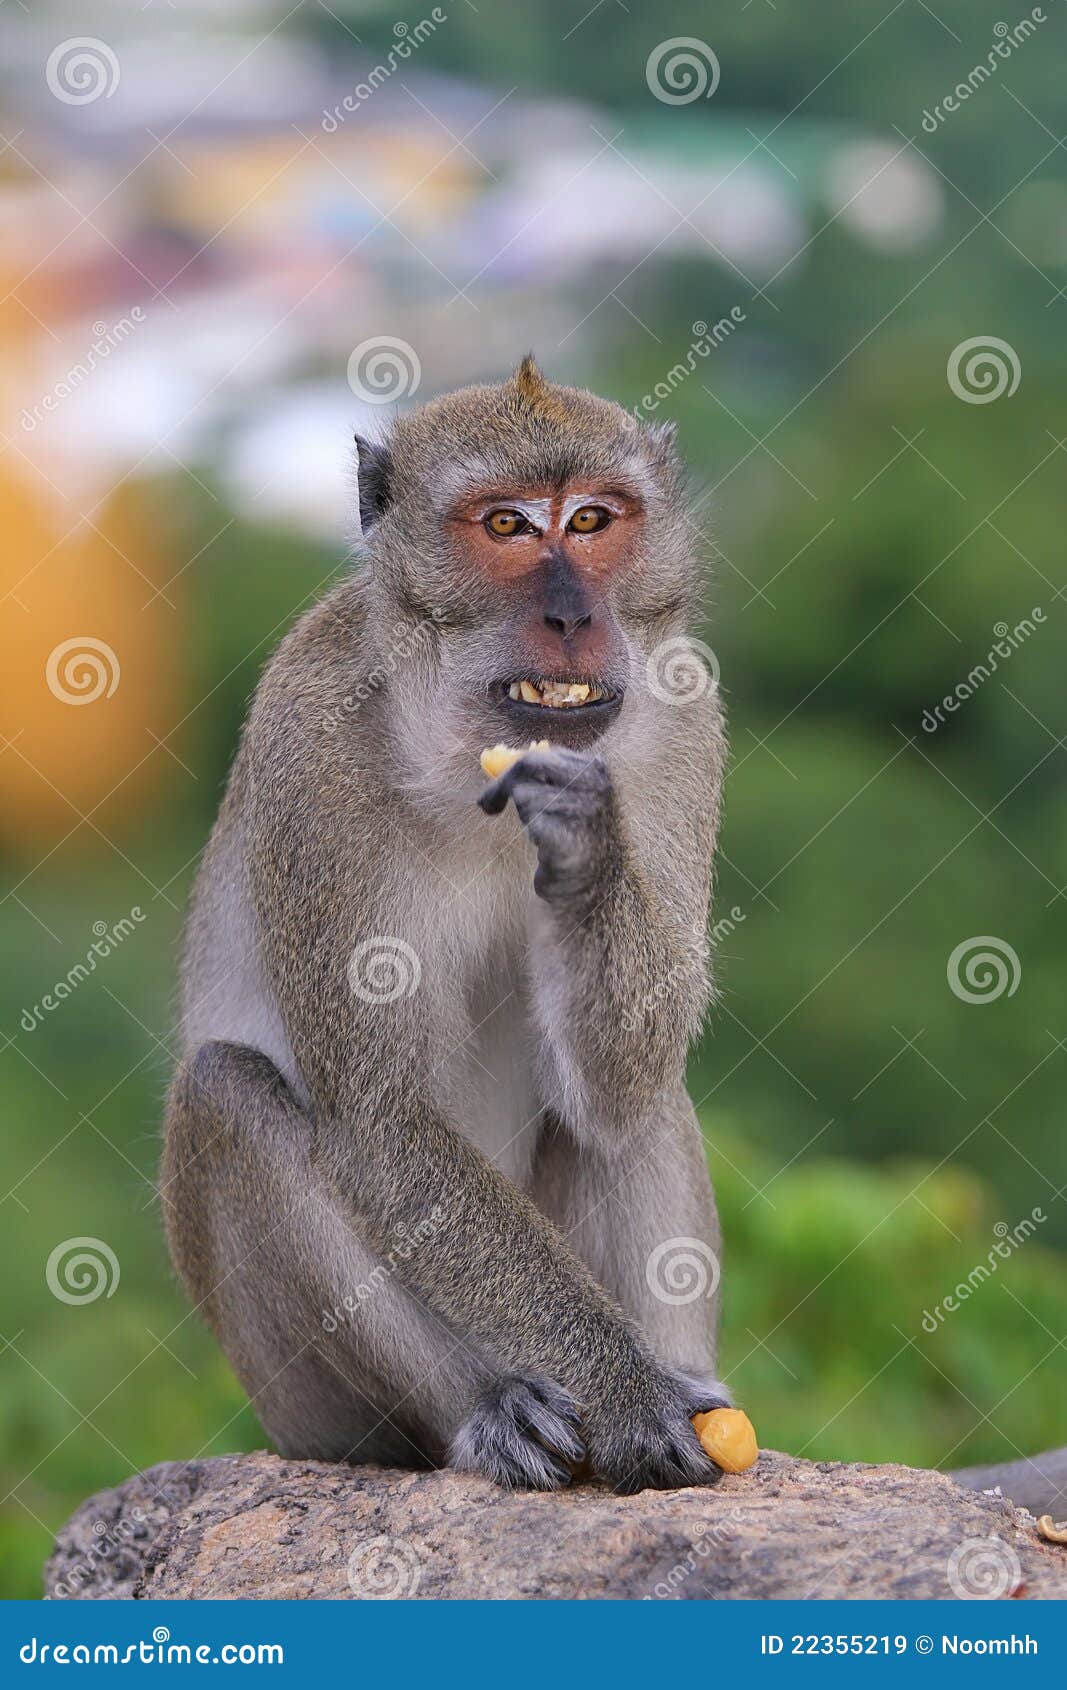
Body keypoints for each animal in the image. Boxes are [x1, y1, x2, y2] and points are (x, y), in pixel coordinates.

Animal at [161, 356, 1067, 1514]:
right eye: (506, 525)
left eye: (592, 520)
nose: (569, 613)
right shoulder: (312, 737)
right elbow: (381, 1124)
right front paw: (626, 1394)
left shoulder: (683, 717)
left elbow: (623, 1082)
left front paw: (590, 856)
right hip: (300, 1405)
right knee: (228, 1094)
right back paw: (494, 1412)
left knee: (625, 1102)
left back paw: (692, 1392)